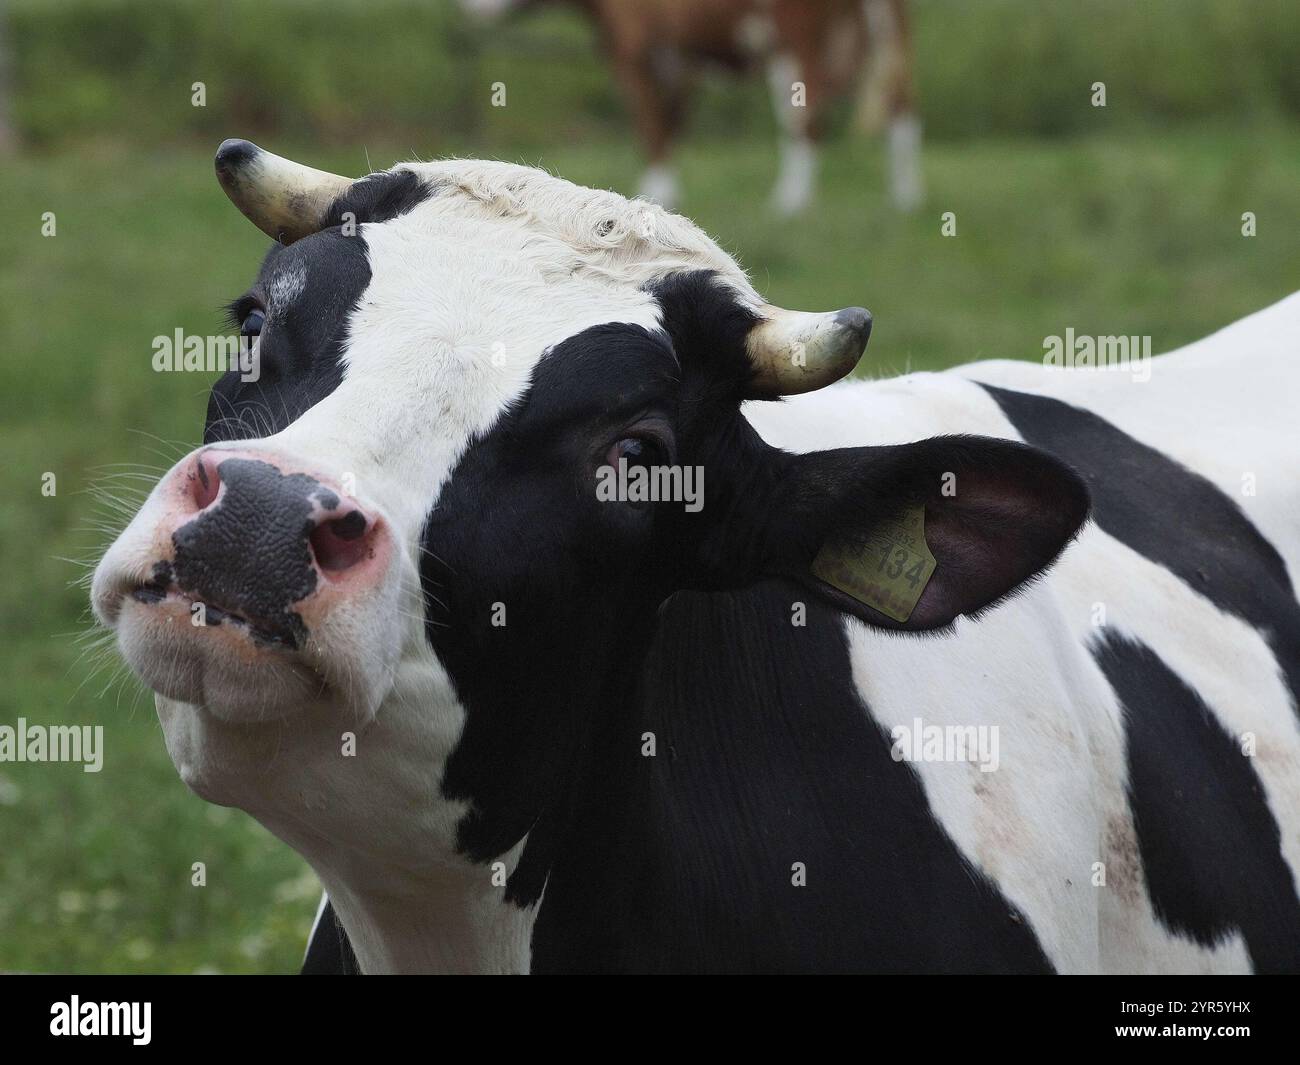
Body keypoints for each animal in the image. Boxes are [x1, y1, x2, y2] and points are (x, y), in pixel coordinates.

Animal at [461, 0, 922, 214]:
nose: (468, 10)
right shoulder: (682, 65)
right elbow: (673, 126)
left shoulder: (636, 55)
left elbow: (652, 128)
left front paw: (652, 196)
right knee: (901, 108)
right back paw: (903, 199)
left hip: (796, 37)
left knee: (804, 119)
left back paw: (790, 203)